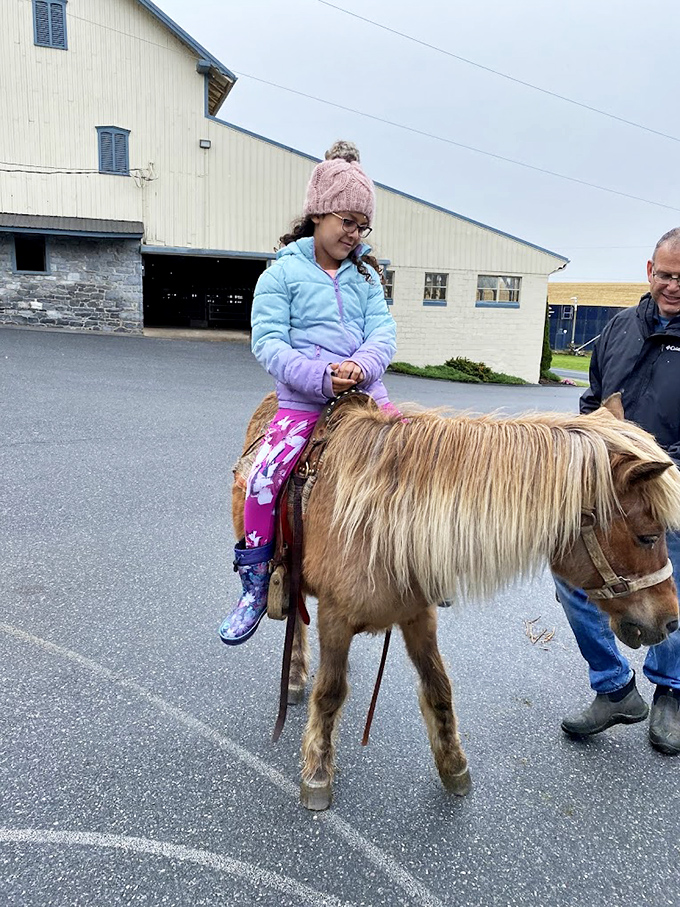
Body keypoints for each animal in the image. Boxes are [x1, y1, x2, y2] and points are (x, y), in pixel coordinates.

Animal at [231, 393, 680, 811]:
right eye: (647, 536)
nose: (670, 620)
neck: (380, 526)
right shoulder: (336, 618)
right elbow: (330, 694)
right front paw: (318, 774)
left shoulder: (417, 617)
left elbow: (438, 688)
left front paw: (453, 767)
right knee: (296, 623)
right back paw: (292, 674)